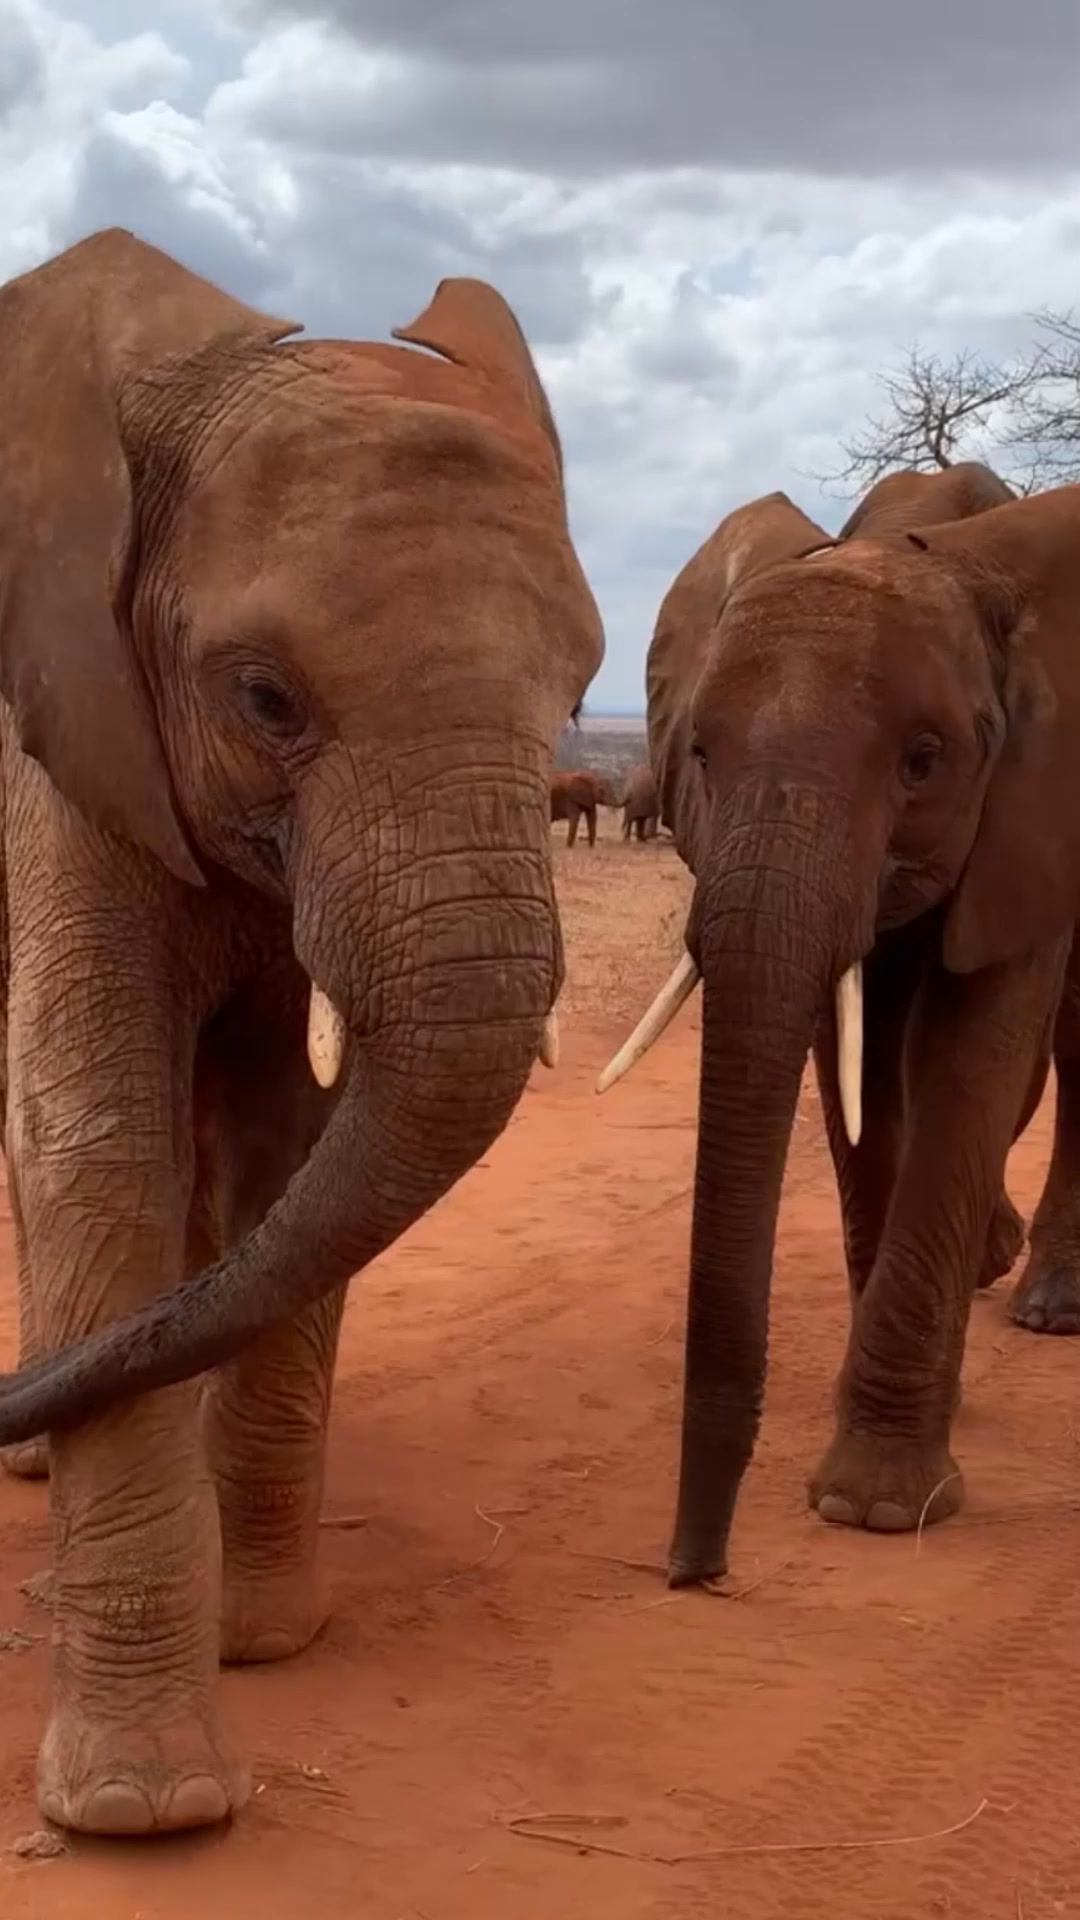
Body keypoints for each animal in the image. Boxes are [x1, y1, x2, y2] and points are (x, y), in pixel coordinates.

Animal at [0, 228, 601, 1835]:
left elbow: (276, 1144)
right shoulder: (61, 739)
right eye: (265, 698)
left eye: (583, 688)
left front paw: (263, 1641)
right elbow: (99, 1131)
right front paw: (143, 1813)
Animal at [597, 467, 1080, 1588]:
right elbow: (855, 1065)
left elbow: (972, 1056)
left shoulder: (1032, 810)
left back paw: (1046, 1307)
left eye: (924, 761)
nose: (694, 1571)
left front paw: (876, 1506)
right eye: (699, 752)